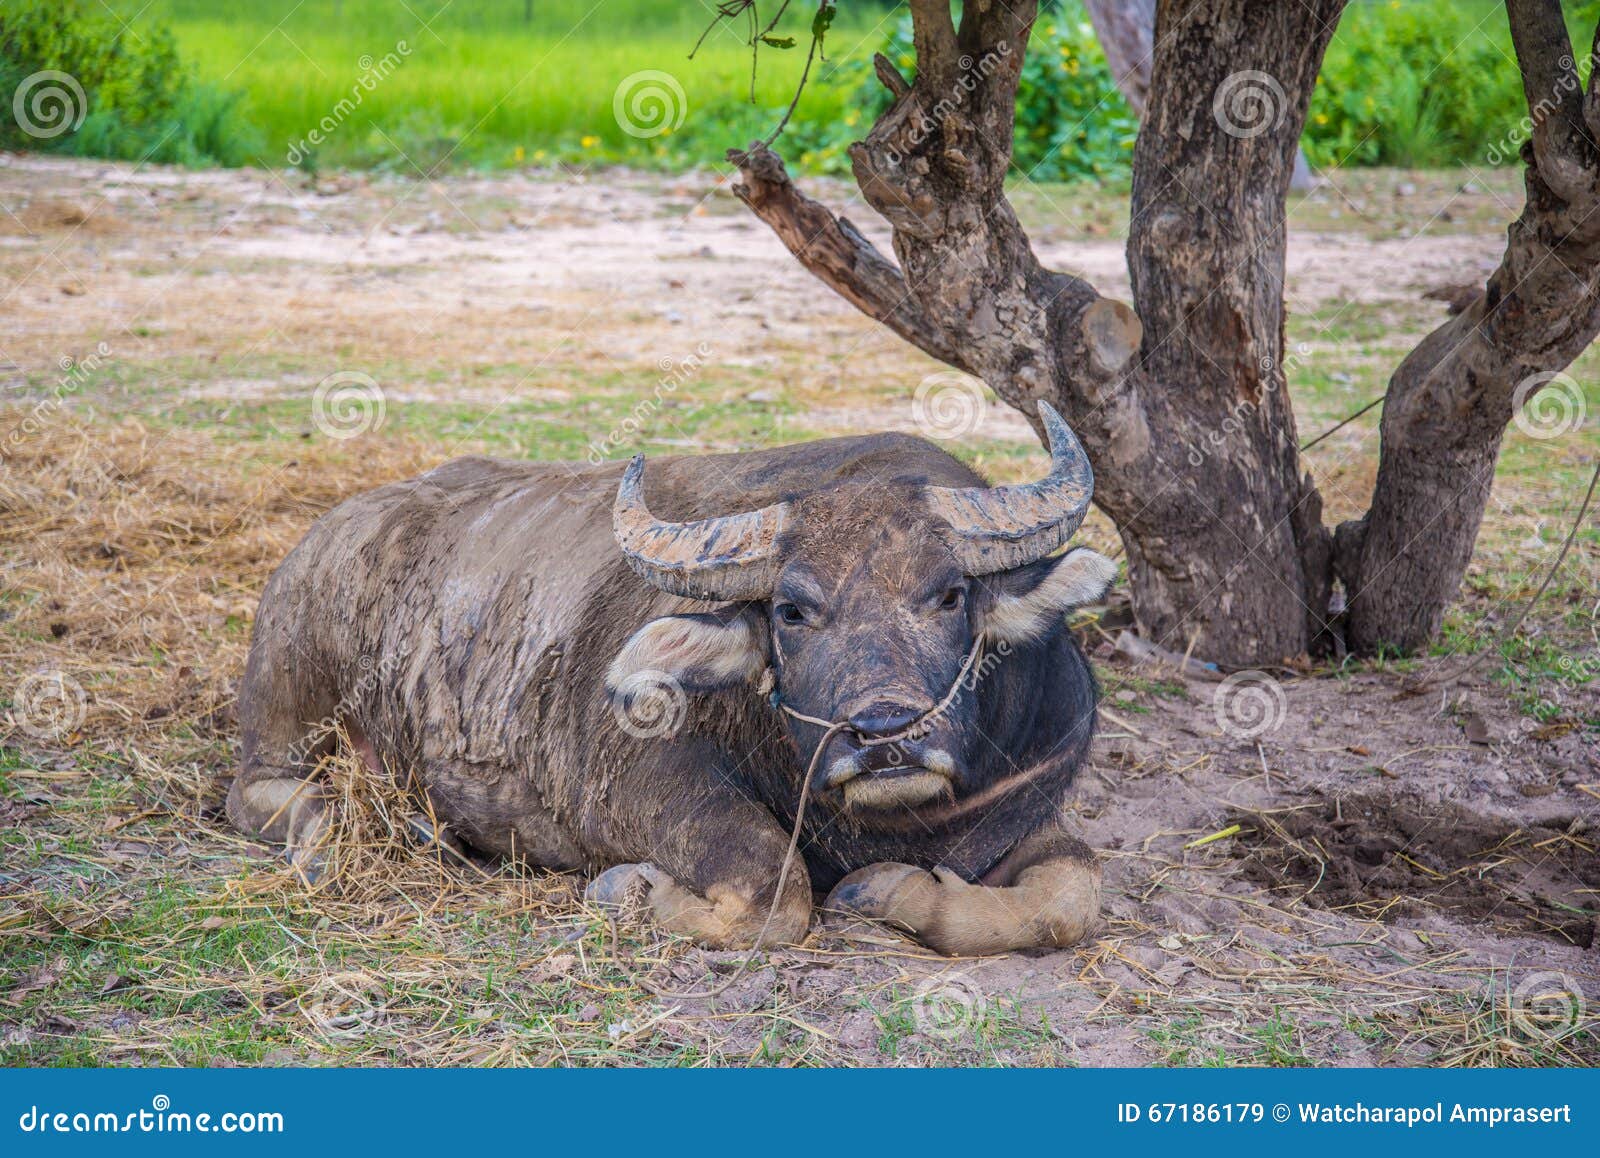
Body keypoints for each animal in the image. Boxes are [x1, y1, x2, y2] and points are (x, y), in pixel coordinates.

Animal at [229, 402, 1114, 955]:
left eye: (950, 594)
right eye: (792, 610)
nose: (885, 734)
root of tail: (329, 532)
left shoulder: (1024, 803)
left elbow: (1069, 901)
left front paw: (888, 893)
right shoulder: (635, 779)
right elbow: (771, 892)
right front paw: (628, 889)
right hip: (287, 697)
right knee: (261, 792)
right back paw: (333, 831)